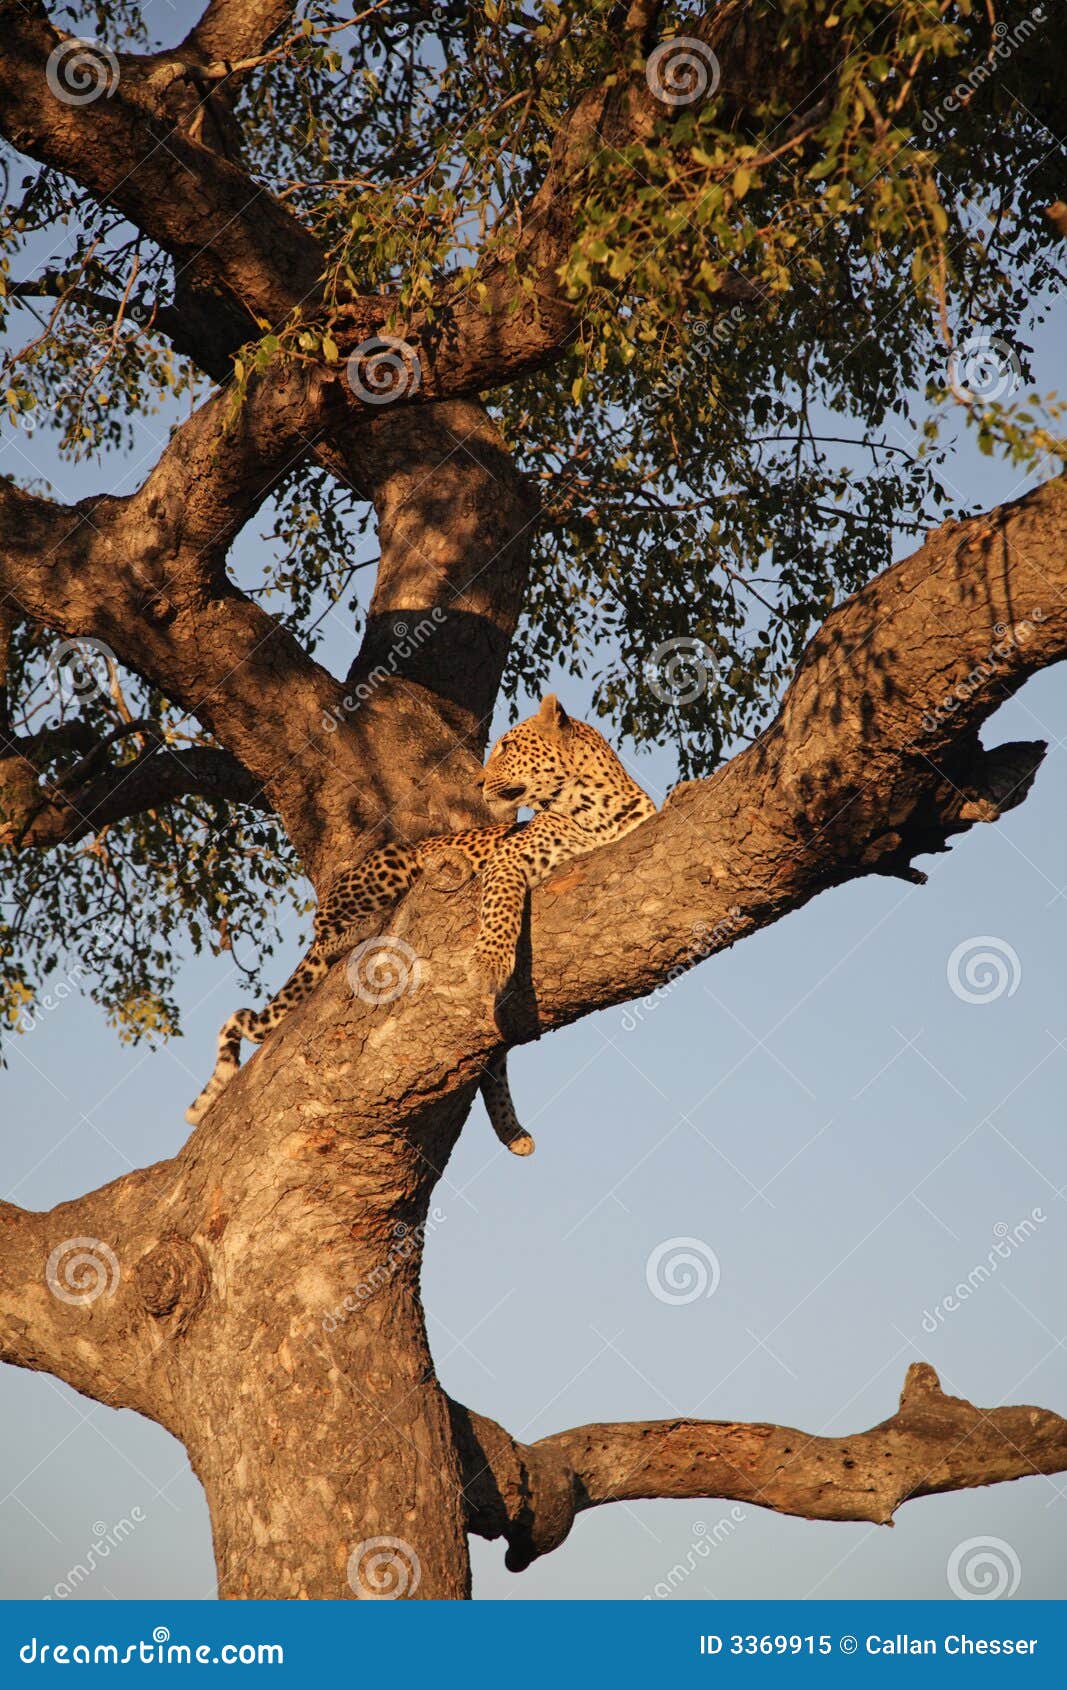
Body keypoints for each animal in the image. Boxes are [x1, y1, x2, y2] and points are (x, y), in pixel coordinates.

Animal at [185, 693, 657, 1153]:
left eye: (508, 747)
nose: (477, 783)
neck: (595, 805)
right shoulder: (508, 858)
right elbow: (500, 909)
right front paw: (488, 964)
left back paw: (513, 1132)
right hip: (393, 862)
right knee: (326, 931)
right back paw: (360, 929)